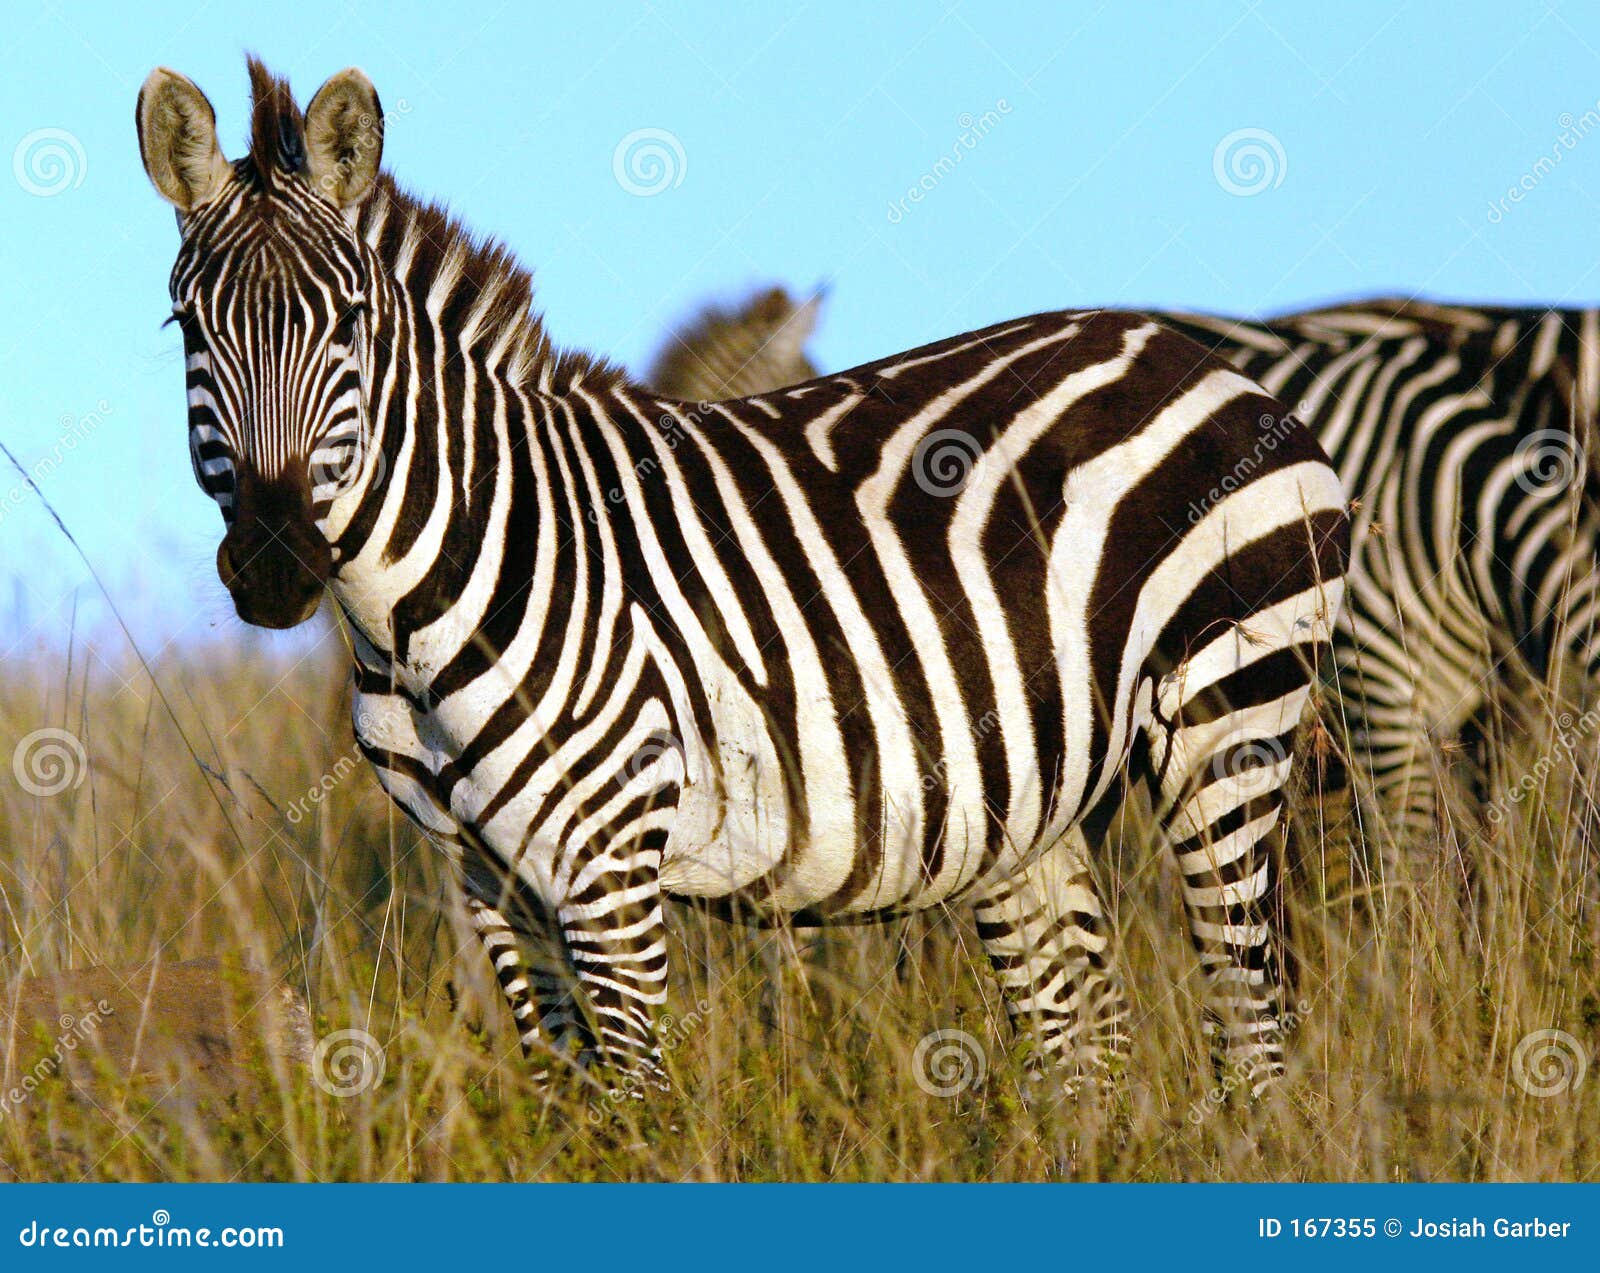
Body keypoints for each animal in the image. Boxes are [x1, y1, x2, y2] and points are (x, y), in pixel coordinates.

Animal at [136, 58, 1349, 1098]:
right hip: (1036, 800)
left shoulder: (606, 863)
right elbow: (570, 1107)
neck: (418, 605)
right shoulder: (486, 880)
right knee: (1081, 1044)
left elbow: (641, 1107)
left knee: (1248, 1023)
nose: (275, 566)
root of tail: (1194, 355)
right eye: (185, 326)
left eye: (348, 325)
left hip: (1225, 718)